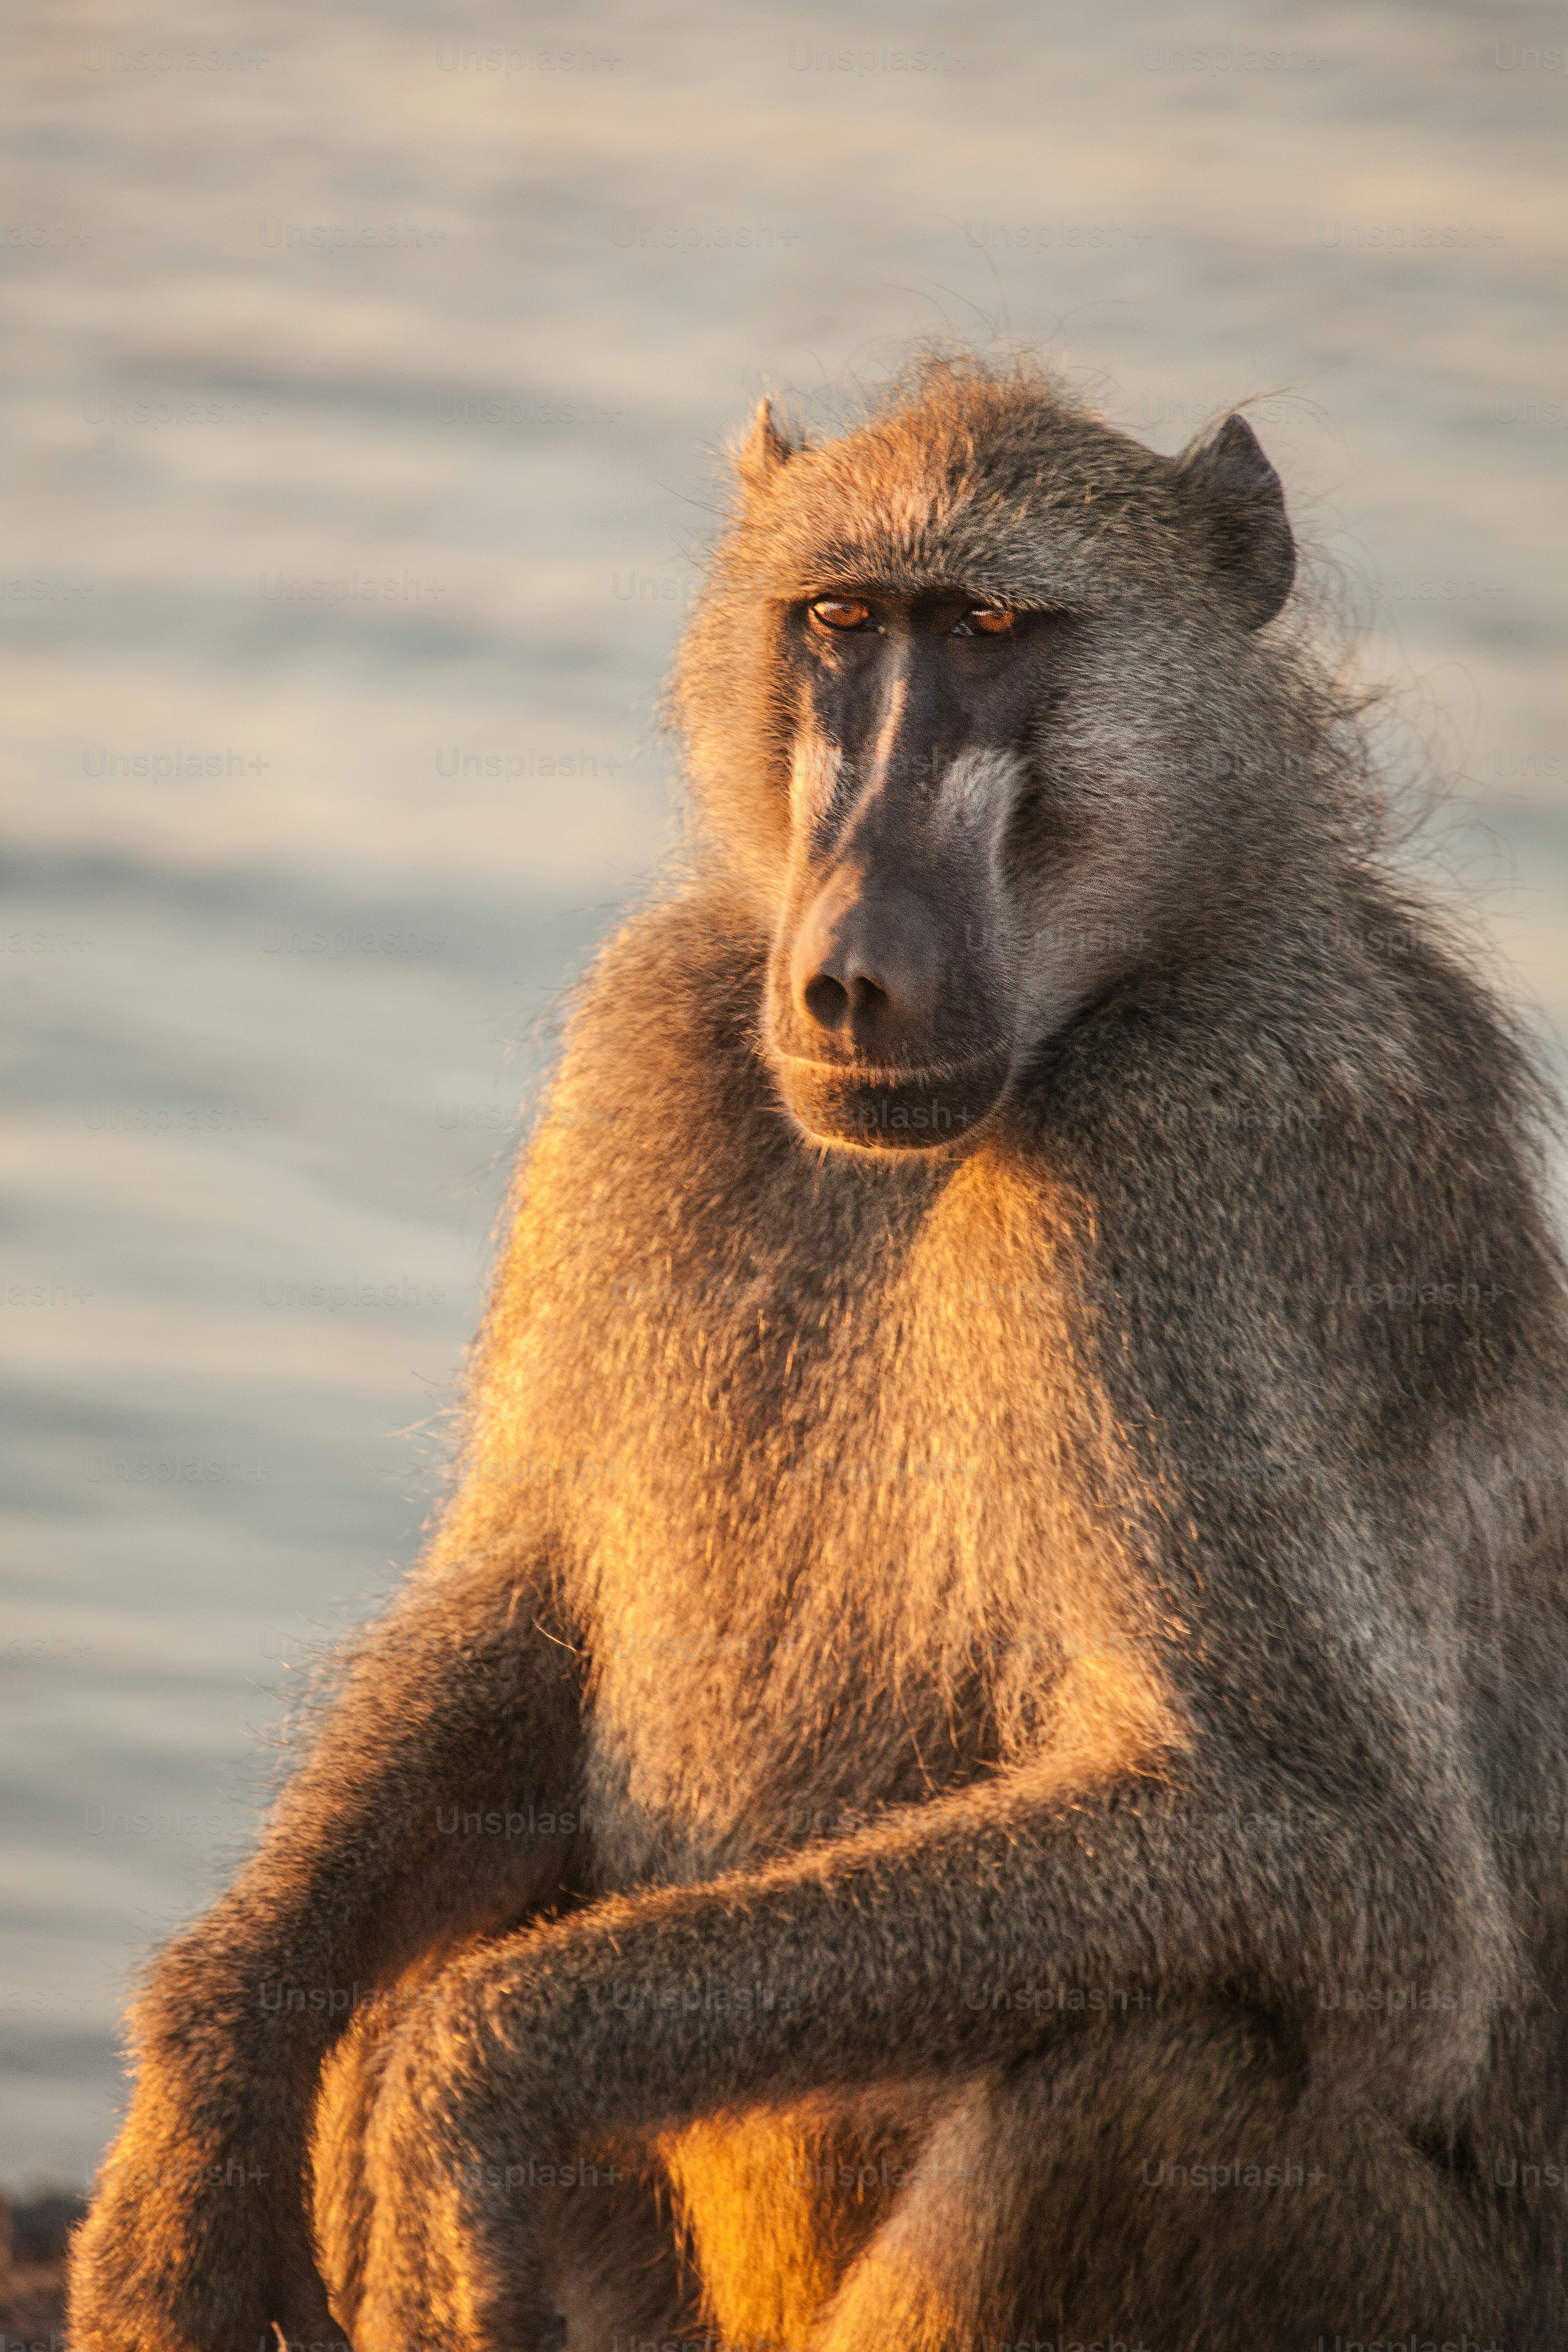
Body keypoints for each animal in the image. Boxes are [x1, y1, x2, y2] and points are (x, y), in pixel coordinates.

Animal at [69, 351, 1568, 2352]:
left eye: (995, 631)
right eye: (844, 627)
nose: (851, 973)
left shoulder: (1205, 1148)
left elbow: (1328, 1843)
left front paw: (472, 2076)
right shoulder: (653, 1030)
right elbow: (531, 1600)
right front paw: (209, 2084)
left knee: (1130, 2083)